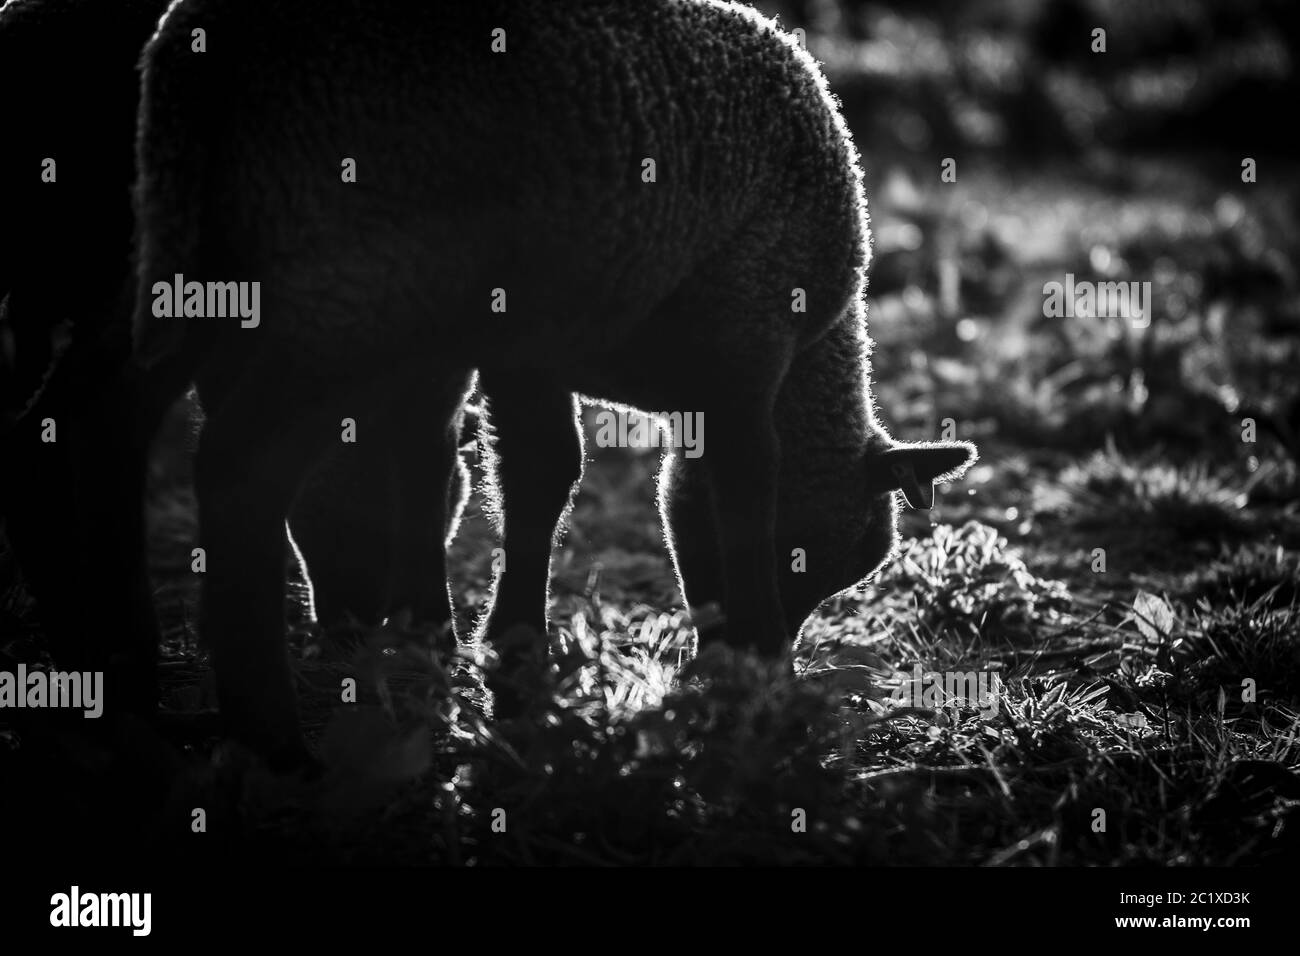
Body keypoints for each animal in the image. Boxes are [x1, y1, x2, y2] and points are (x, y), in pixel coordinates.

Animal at [133, 0, 977, 765]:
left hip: (198, 250)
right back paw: (272, 738)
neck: (812, 356)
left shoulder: (522, 345)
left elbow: (517, 475)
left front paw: (494, 666)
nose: (345, 632)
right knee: (241, 468)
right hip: (352, 276)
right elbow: (738, 490)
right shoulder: (746, 337)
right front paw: (765, 683)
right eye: (833, 561)